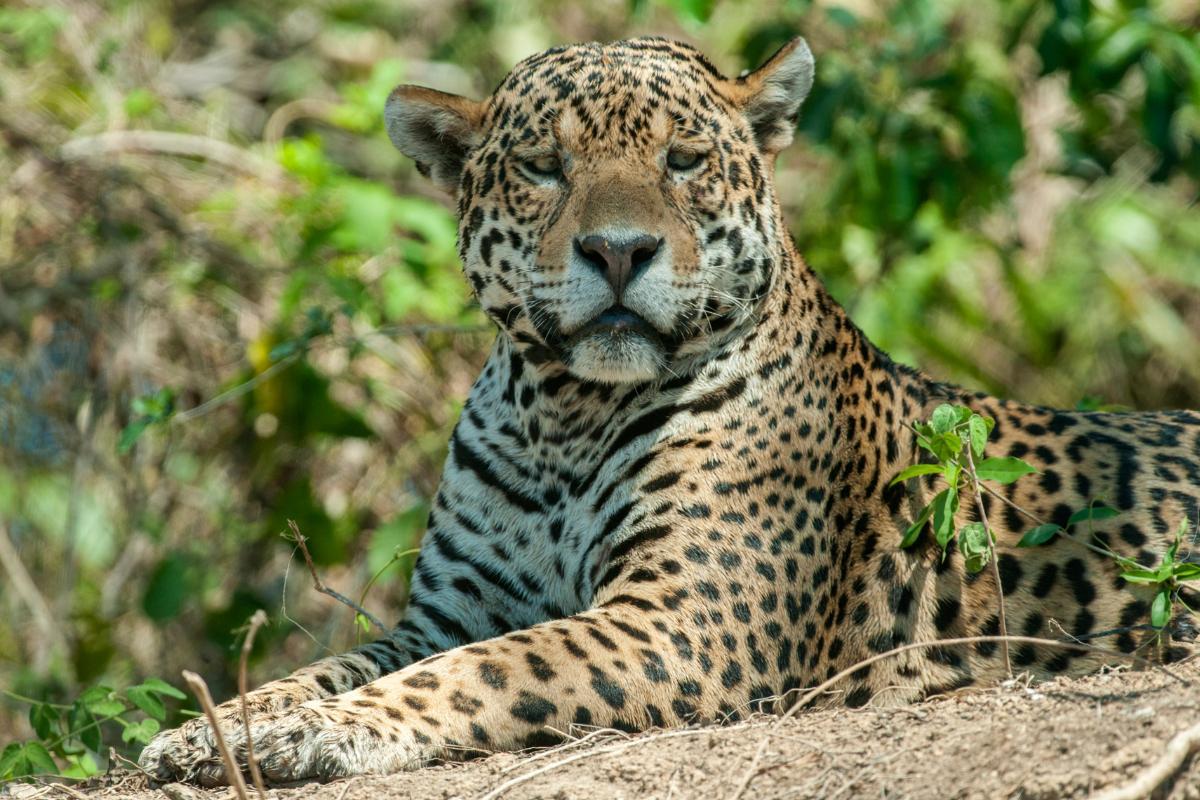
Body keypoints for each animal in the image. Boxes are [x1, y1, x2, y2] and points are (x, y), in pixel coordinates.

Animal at [139, 35, 1200, 785]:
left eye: (684, 160)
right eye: (543, 167)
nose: (618, 250)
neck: (562, 417)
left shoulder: (680, 619)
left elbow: (490, 670)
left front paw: (321, 734)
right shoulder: (448, 612)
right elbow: (333, 664)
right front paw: (218, 730)